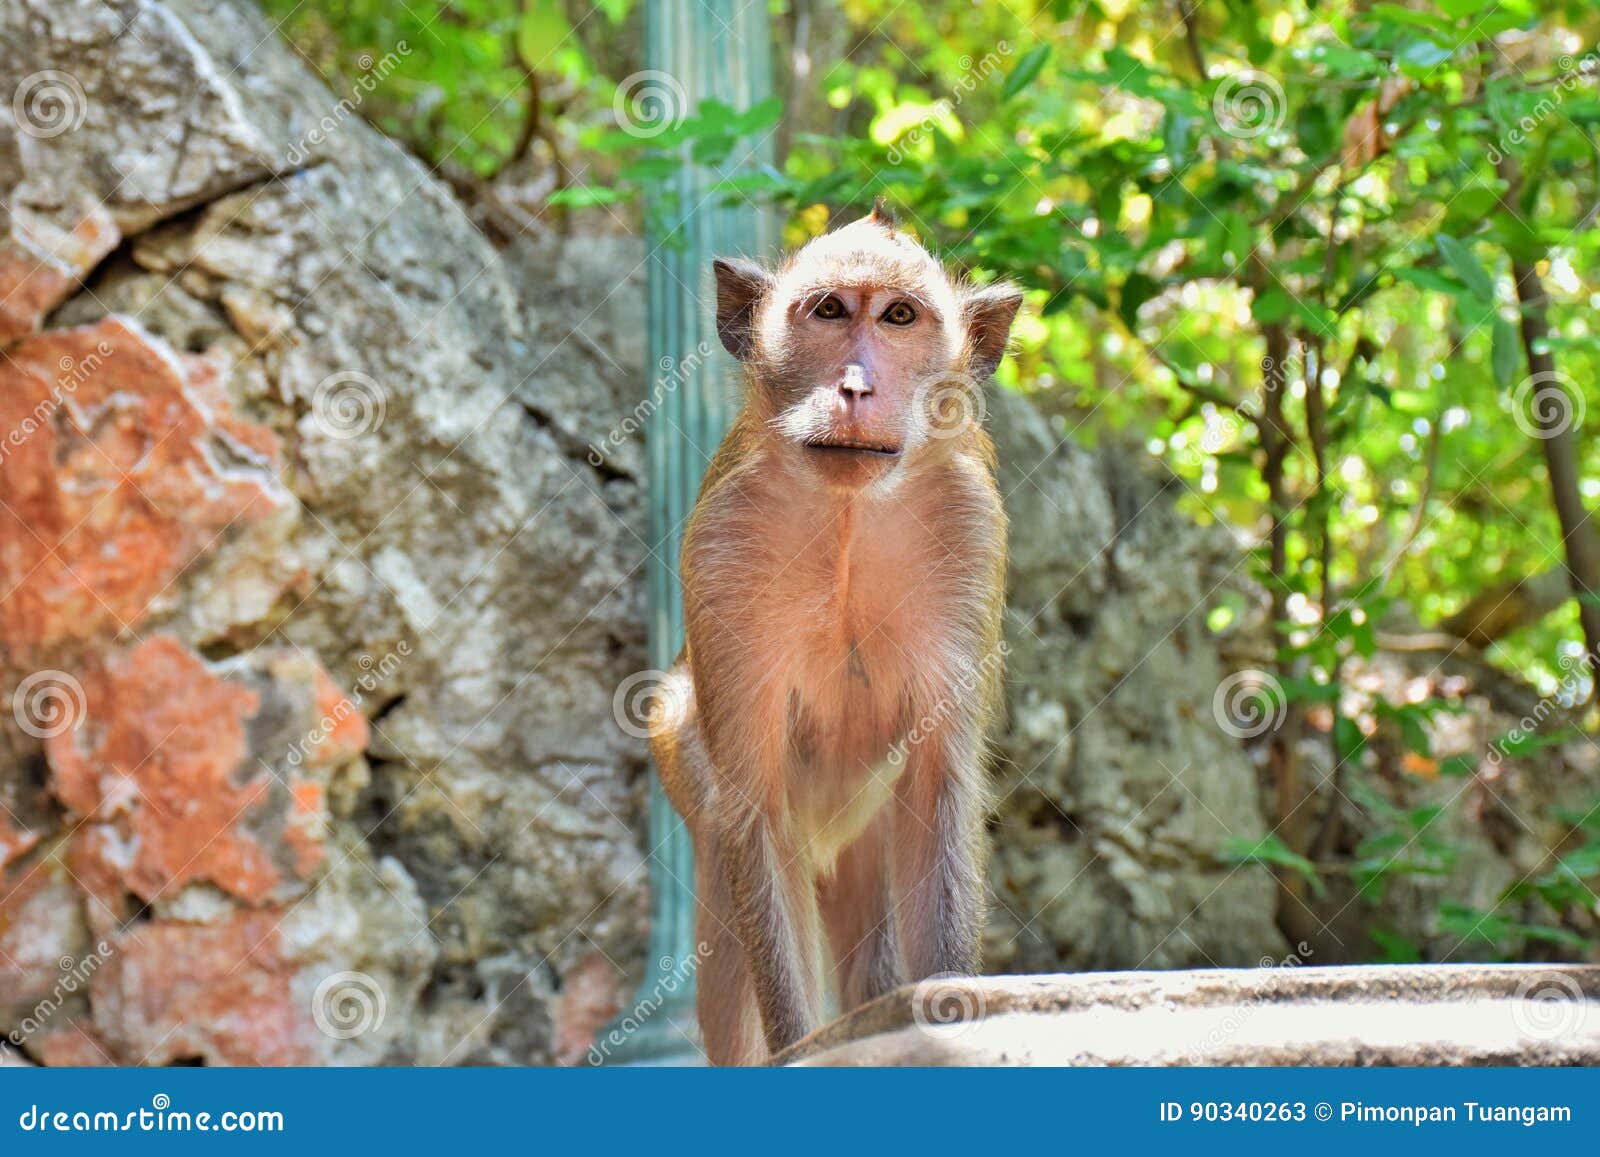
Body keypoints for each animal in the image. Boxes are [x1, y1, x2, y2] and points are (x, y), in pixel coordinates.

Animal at [648, 201, 1021, 1066]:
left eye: (898, 317)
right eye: (828, 312)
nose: (855, 383)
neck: (849, 513)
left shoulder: (970, 532)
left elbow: (939, 787)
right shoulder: (722, 547)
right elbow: (754, 809)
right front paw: (798, 1048)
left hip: (861, 831)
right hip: (683, 762)